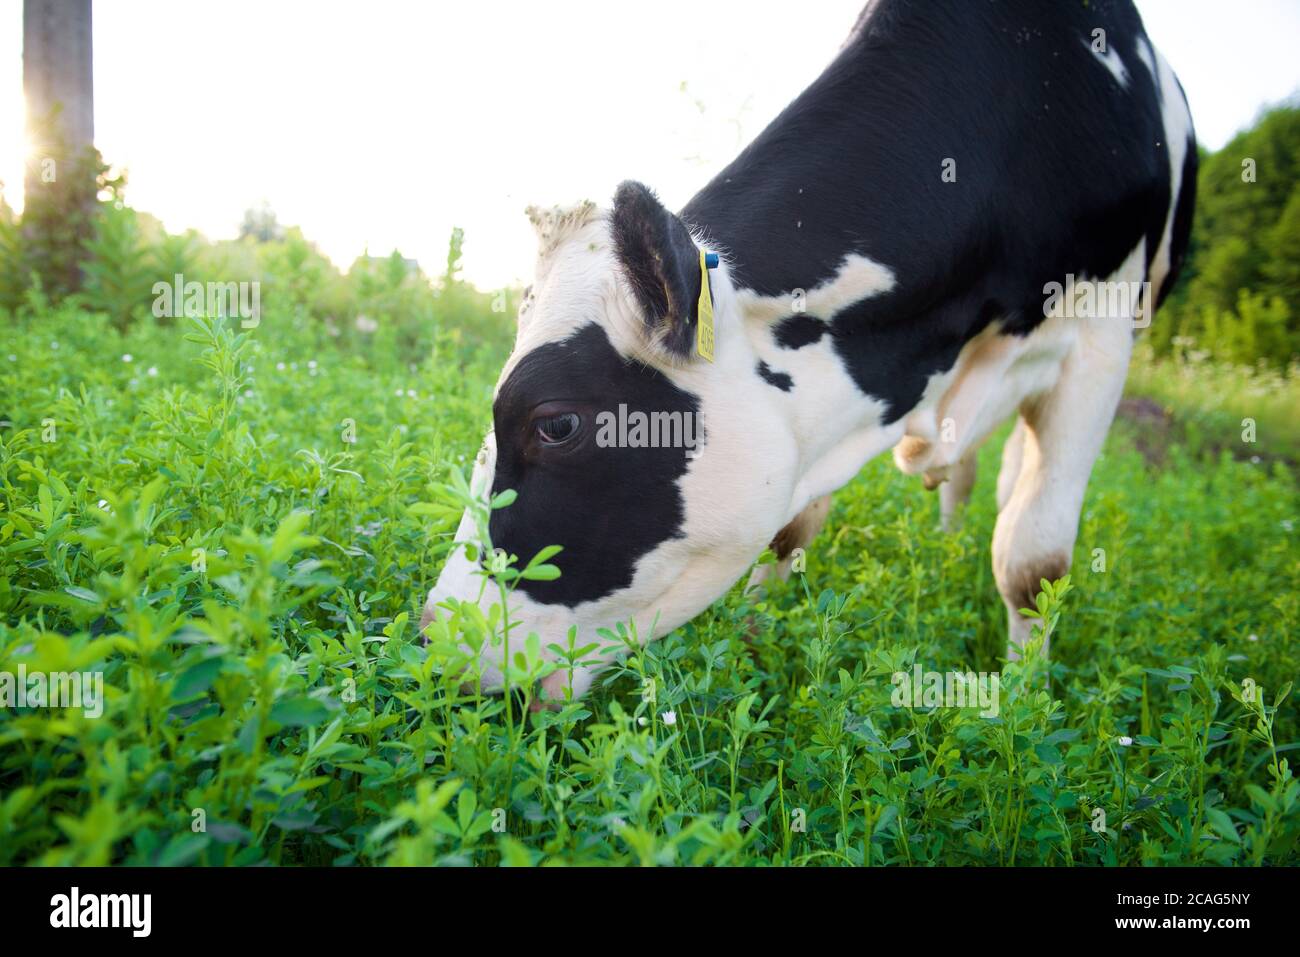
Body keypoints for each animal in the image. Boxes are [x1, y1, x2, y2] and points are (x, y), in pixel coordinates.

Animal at [421, 0, 1197, 706]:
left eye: (555, 423)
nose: (434, 646)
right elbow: (789, 531)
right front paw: (754, 641)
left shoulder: (1098, 346)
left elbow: (1033, 561)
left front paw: (1026, 707)